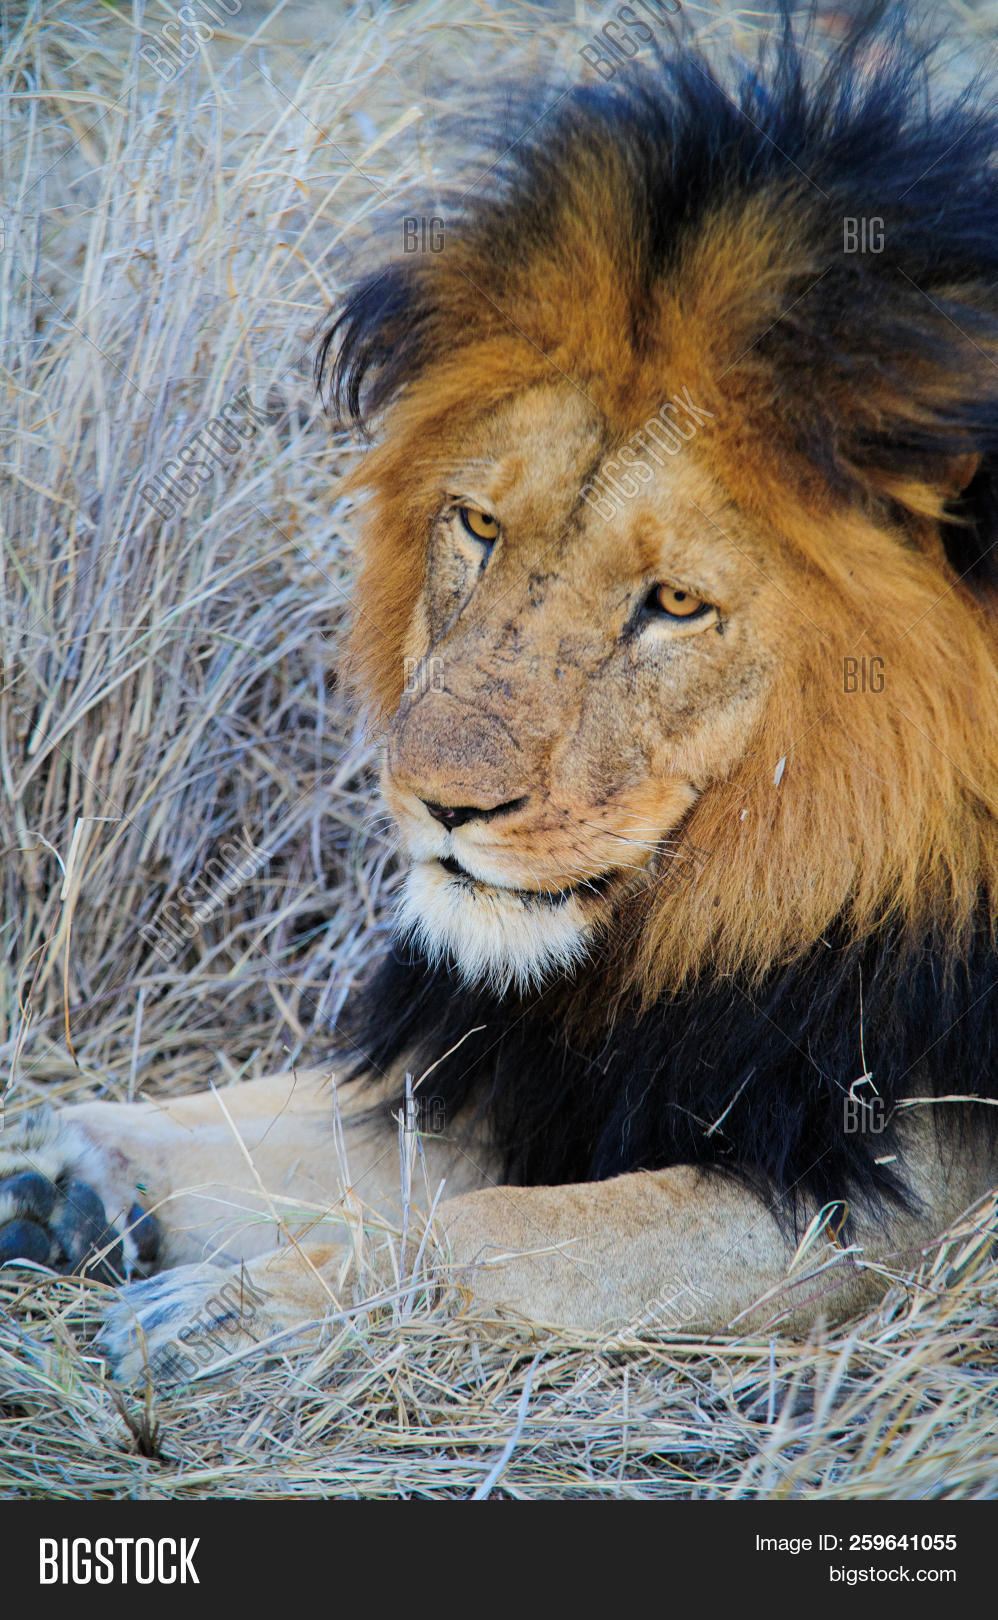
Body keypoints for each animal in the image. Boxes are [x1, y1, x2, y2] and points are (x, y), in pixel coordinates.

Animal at [3, 10, 998, 1383]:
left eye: (671, 604)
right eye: (476, 526)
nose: (436, 805)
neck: (738, 905)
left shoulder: (885, 1200)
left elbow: (487, 1234)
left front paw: (228, 1308)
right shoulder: (517, 1060)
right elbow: (278, 1125)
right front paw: (74, 1174)